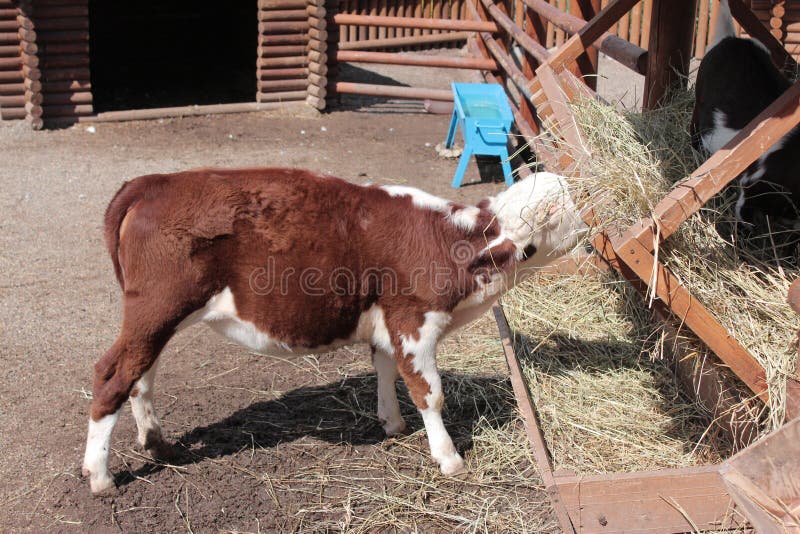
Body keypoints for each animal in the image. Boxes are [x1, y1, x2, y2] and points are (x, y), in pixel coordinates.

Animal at [81, 167, 586, 495]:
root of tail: (154, 182)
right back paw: (100, 476)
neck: (449, 244)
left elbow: (386, 371)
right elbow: (430, 393)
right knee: (112, 375)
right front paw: (448, 458)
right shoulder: (413, 323)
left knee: (141, 373)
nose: (590, 223)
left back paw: (156, 441)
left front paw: (392, 423)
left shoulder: (386, 325)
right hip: (158, 307)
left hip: (157, 317)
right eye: (562, 209)